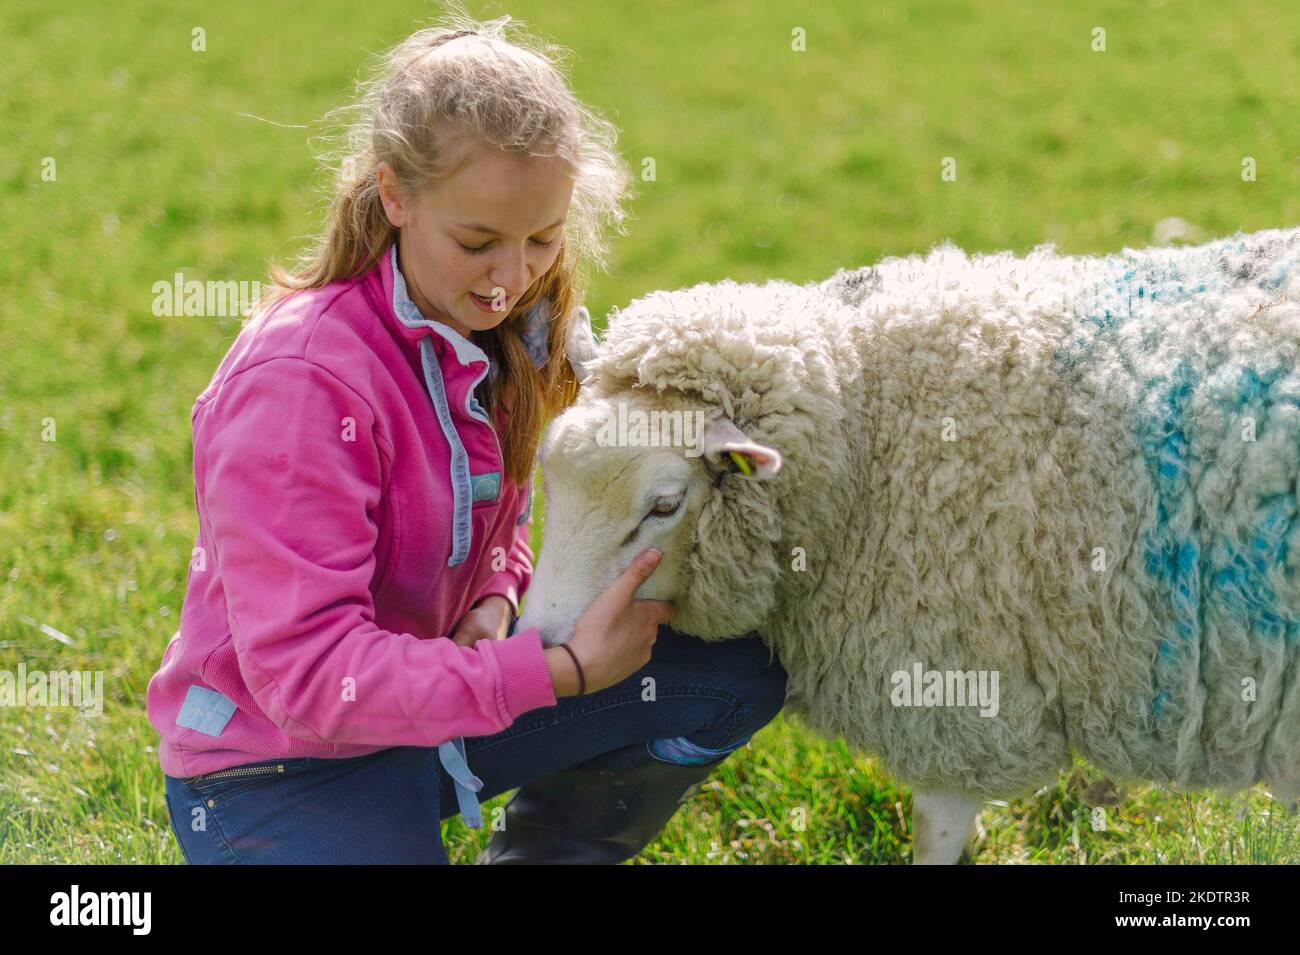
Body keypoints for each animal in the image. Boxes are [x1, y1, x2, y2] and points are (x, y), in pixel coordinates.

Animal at [517, 225, 1300, 863]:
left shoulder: (956, 696)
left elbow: (935, 836)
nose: (542, 645)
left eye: (665, 504)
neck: (866, 436)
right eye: (548, 473)